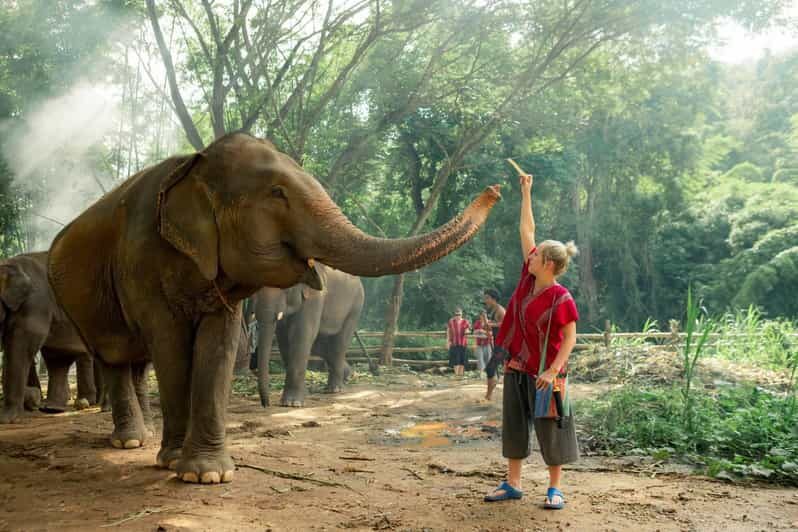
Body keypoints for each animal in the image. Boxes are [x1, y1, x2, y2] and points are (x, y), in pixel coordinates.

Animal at [252, 263, 364, 407]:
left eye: (286, 288)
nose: (266, 404)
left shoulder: (315, 296)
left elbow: (301, 333)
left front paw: (292, 403)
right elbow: (284, 338)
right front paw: (302, 395)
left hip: (355, 306)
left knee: (339, 344)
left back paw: (334, 389)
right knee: (322, 347)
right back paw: (348, 376)